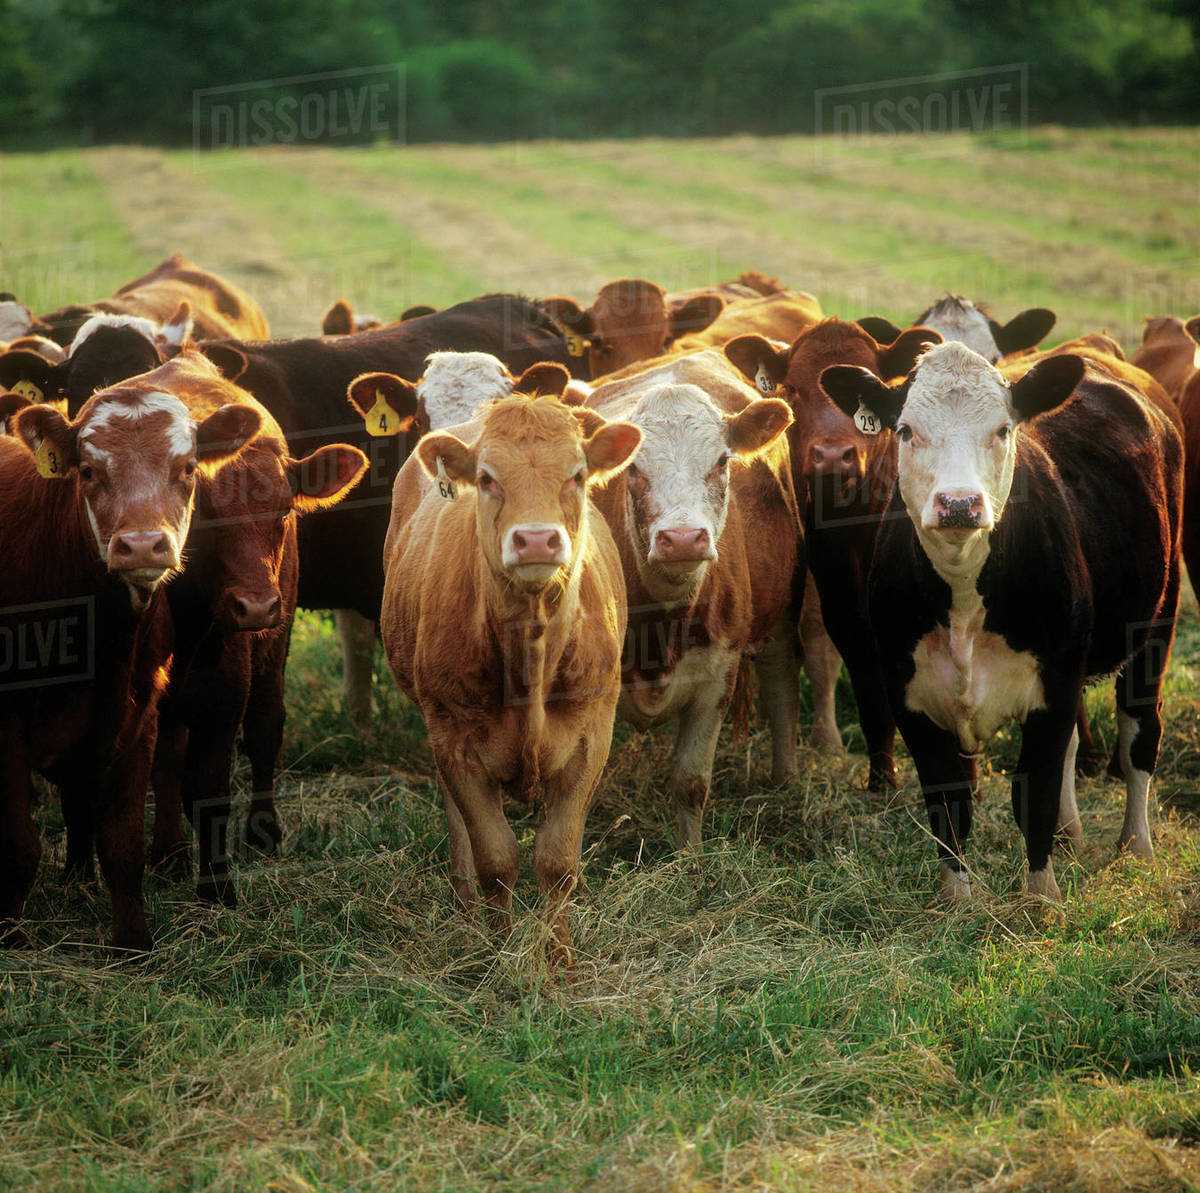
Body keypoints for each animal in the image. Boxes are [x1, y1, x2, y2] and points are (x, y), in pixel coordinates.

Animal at [2, 361, 263, 949]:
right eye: (88, 471)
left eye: (187, 468)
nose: (142, 545)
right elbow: (19, 845)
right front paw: (9, 934)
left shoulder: (138, 714)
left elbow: (124, 843)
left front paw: (133, 943)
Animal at [379, 387, 642, 962]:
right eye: (486, 478)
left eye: (577, 475)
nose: (537, 540)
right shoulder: (454, 739)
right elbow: (496, 859)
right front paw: (497, 955)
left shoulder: (593, 736)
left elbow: (557, 862)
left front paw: (561, 961)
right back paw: (464, 906)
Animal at [586, 349, 800, 845]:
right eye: (633, 468)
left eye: (722, 461)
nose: (682, 539)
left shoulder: (718, 677)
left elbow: (690, 781)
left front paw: (690, 856)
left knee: (781, 682)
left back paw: (786, 779)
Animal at [724, 320, 939, 789]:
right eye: (792, 389)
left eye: (866, 396)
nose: (832, 456)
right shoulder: (845, 612)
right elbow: (872, 697)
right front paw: (881, 782)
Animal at [820, 341, 1183, 901]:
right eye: (905, 430)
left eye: (1003, 429)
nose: (959, 503)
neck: (965, 597)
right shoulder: (907, 693)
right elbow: (948, 801)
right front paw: (955, 901)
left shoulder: (1055, 684)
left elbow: (1035, 792)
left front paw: (1042, 900)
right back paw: (1071, 834)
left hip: (1157, 621)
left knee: (1139, 734)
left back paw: (1136, 846)